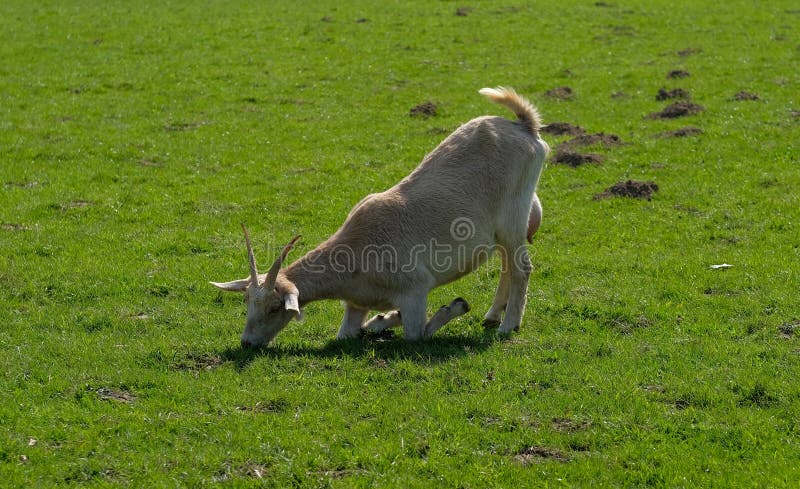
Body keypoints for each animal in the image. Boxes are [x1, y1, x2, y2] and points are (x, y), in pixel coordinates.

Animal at [211, 87, 549, 348]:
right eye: (246, 301)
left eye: (273, 308)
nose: (247, 343)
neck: (357, 251)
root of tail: (526, 127)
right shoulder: (355, 304)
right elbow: (348, 334)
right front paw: (382, 318)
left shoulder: (415, 290)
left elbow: (417, 334)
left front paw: (454, 306)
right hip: (502, 231)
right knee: (507, 265)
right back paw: (492, 317)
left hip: (513, 217)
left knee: (521, 268)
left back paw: (508, 325)